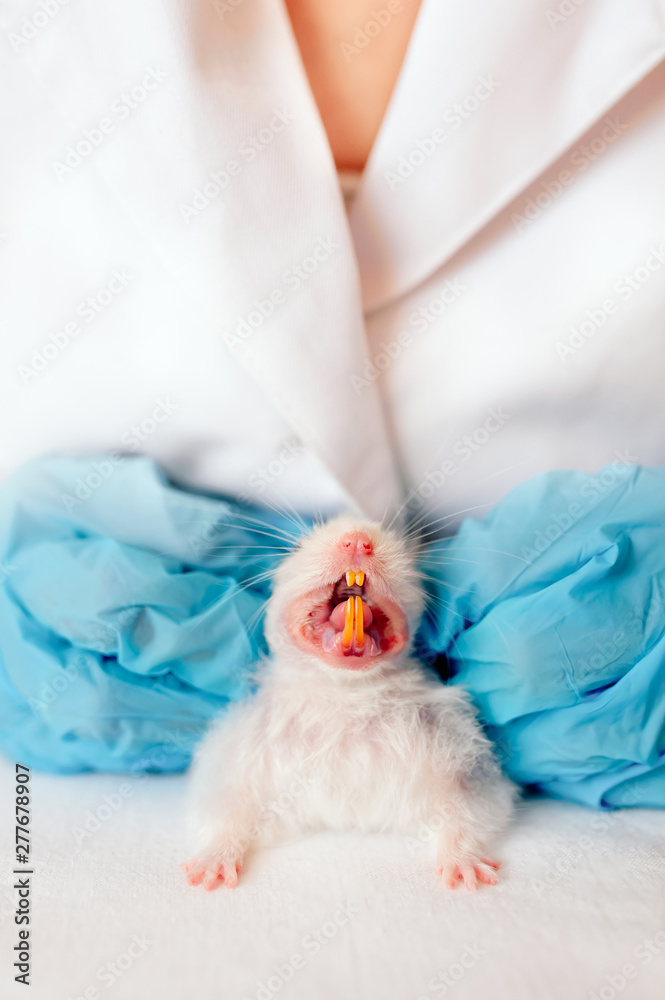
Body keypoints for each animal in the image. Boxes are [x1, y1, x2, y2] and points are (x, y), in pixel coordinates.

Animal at [181, 515, 516, 891]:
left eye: (400, 548)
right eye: (297, 547)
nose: (357, 539)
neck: (346, 693)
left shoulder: (461, 760)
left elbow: (466, 809)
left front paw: (467, 874)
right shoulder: (239, 757)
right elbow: (224, 810)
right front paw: (208, 874)